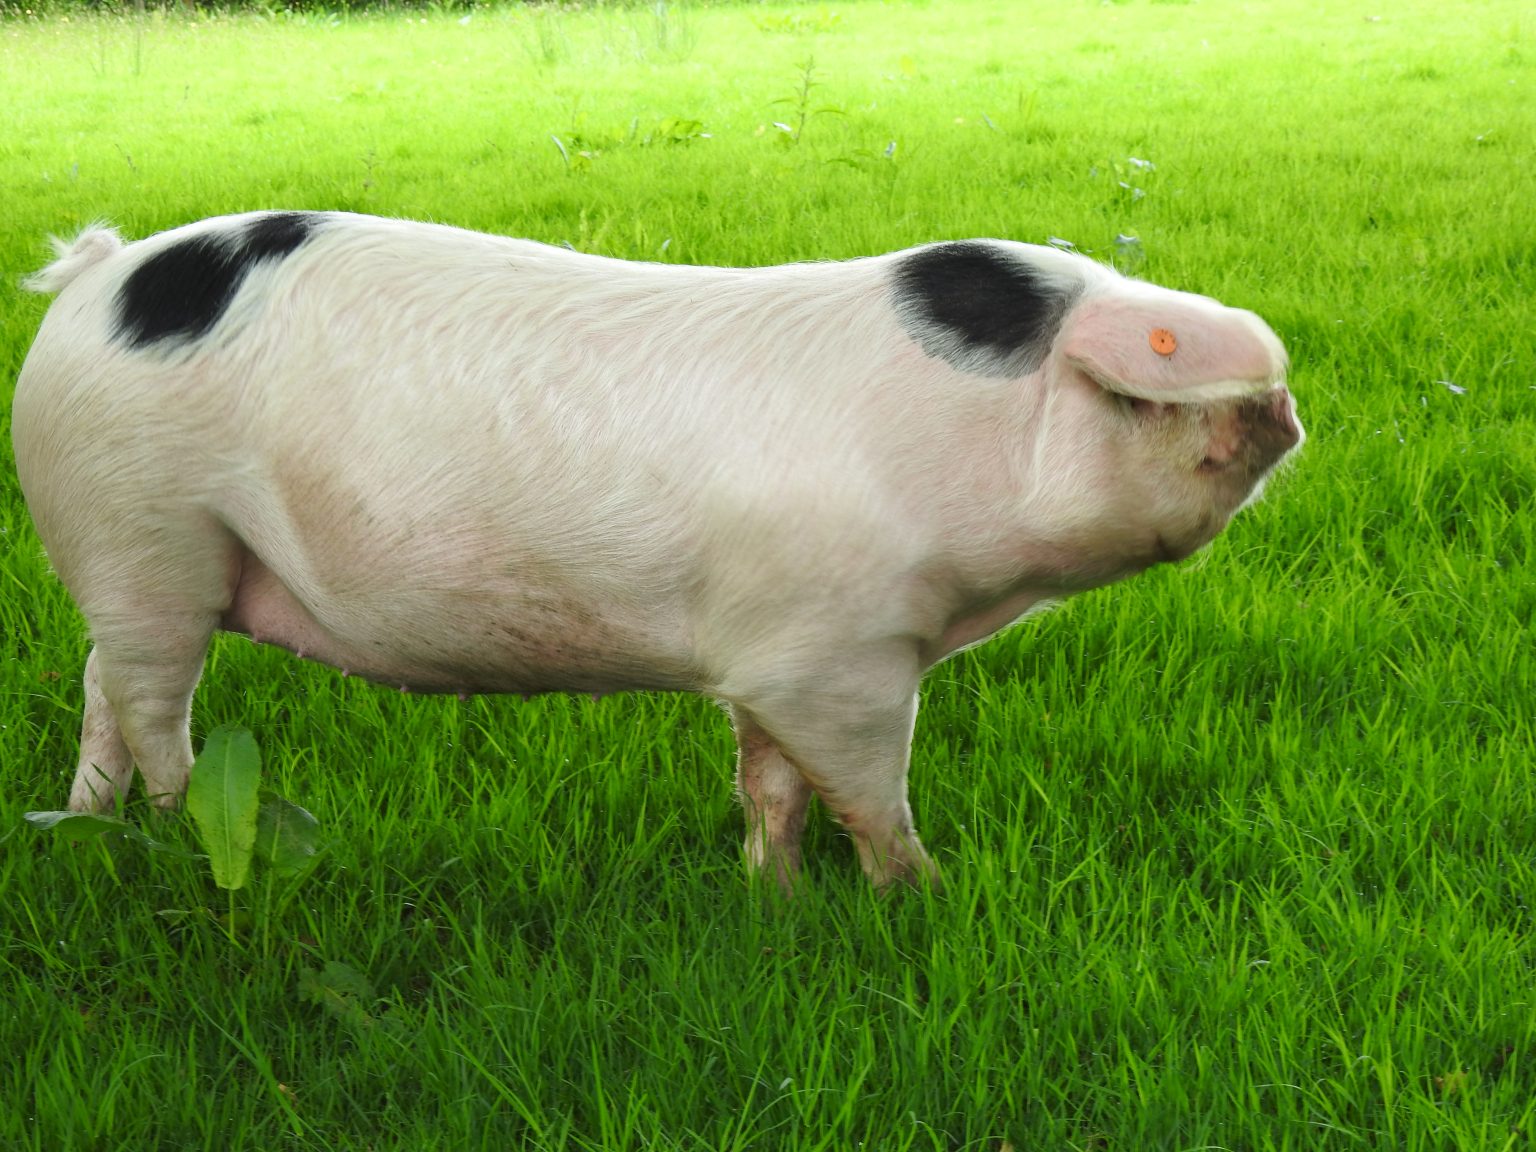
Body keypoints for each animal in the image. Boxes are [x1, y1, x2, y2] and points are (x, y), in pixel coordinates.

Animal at [12, 211, 1302, 889]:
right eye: (1162, 368)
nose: (1288, 412)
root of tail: (95, 278)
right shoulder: (836, 656)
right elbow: (869, 789)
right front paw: (925, 896)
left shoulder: (769, 651)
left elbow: (770, 782)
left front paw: (770, 896)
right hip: (145, 526)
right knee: (153, 702)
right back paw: (180, 829)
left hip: (133, 556)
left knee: (98, 686)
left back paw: (86, 824)